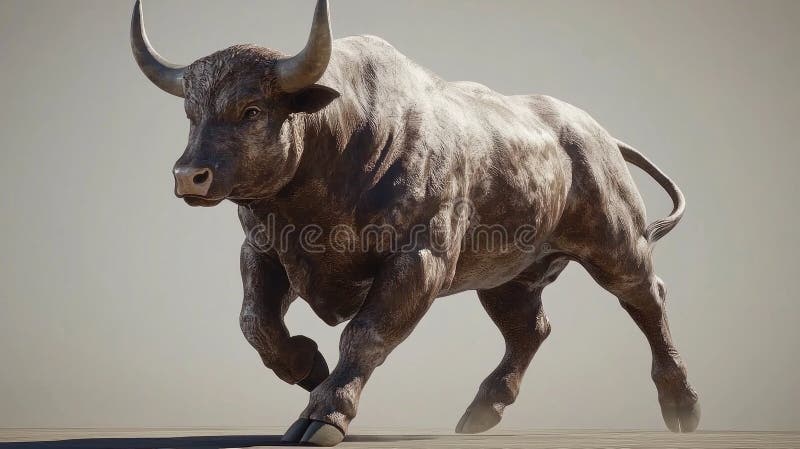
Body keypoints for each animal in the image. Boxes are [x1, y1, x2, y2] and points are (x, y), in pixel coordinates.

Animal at [131, 0, 700, 445]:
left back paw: (683, 406)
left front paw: (324, 415)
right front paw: (308, 368)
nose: (189, 177)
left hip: (615, 244)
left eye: (251, 110)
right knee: (531, 327)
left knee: (646, 297)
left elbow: (364, 334)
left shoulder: (417, 260)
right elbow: (256, 324)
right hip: (507, 276)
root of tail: (597, 133)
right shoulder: (266, 252)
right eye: (191, 114)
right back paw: (481, 412)